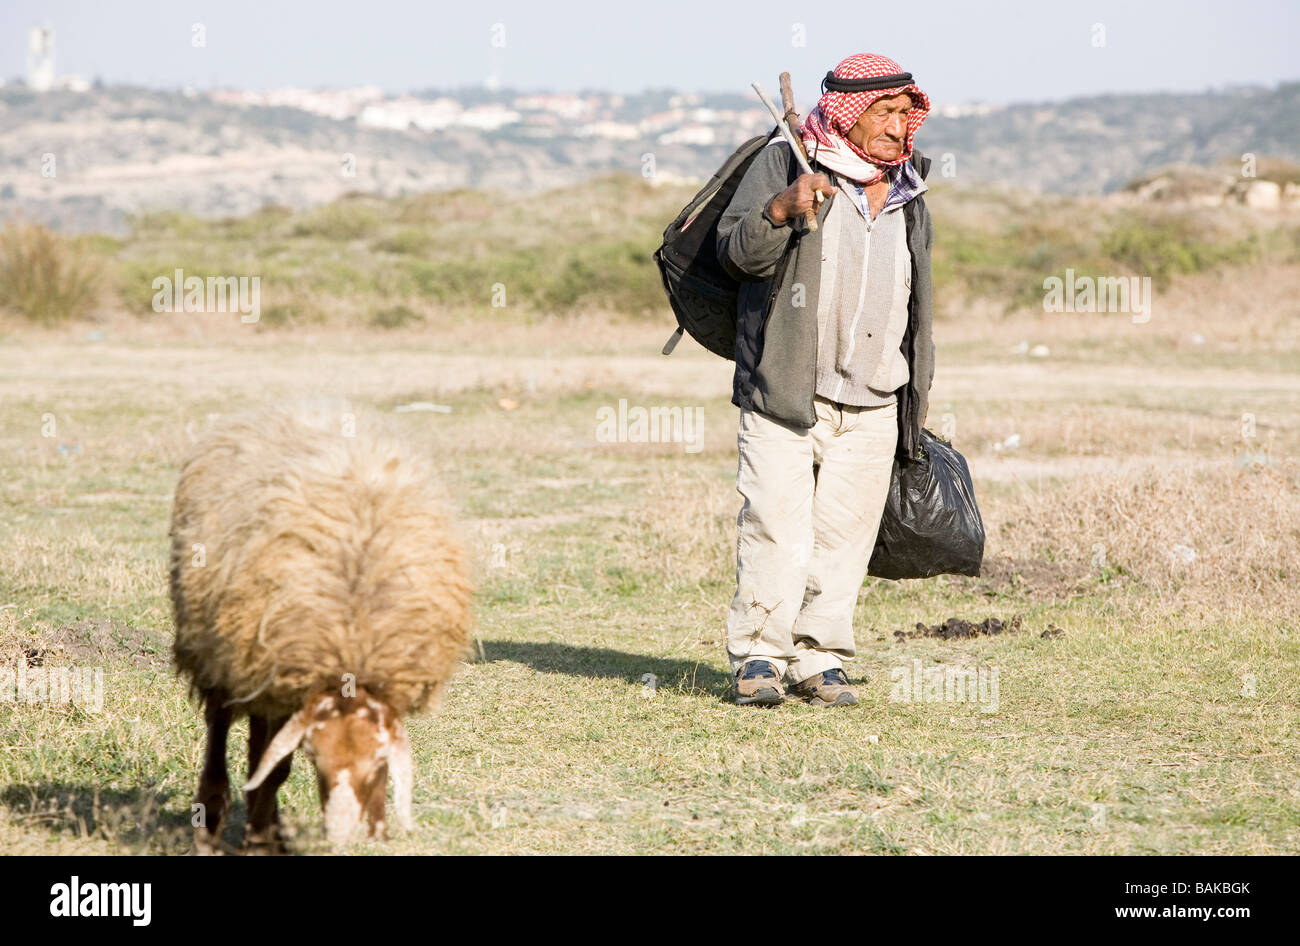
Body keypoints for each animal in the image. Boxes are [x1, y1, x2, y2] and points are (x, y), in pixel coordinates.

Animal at [169, 406, 473, 851]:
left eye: (377, 763)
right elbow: (276, 770)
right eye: (315, 758)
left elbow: (272, 767)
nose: (340, 832)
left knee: (259, 742)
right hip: (218, 647)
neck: (352, 644)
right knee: (221, 727)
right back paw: (212, 826)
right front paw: (256, 843)